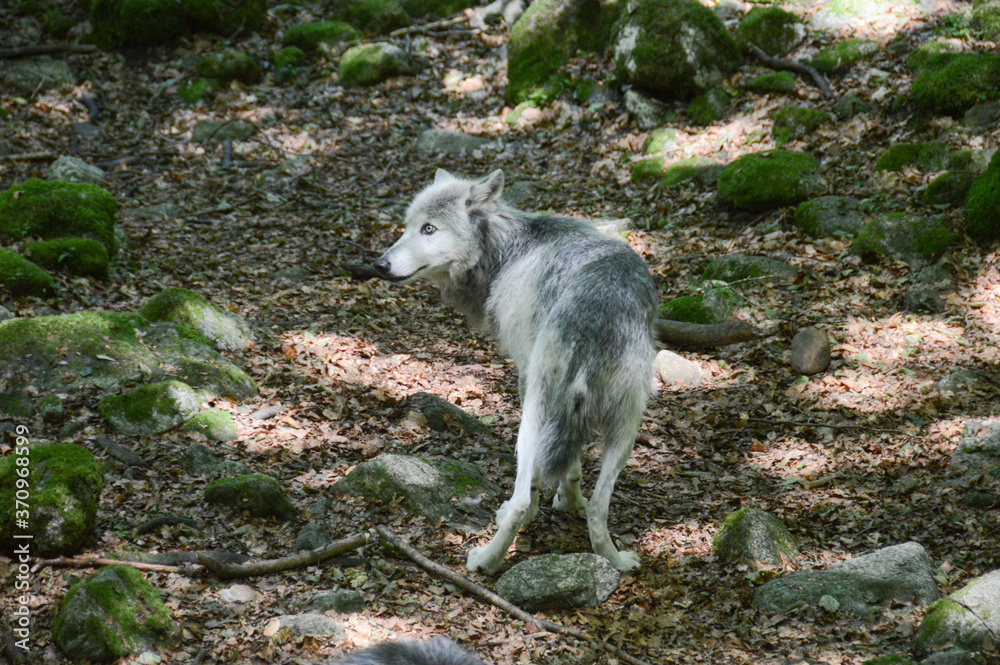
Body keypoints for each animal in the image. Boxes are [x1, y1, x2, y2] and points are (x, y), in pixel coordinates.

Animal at [374, 169, 658, 574]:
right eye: (408, 226)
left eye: (429, 229)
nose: (379, 264)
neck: (509, 250)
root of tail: (598, 309)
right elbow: (572, 464)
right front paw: (570, 499)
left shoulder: (524, 373)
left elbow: (541, 477)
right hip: (627, 427)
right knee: (601, 507)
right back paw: (616, 560)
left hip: (532, 415)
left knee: (523, 495)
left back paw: (486, 560)